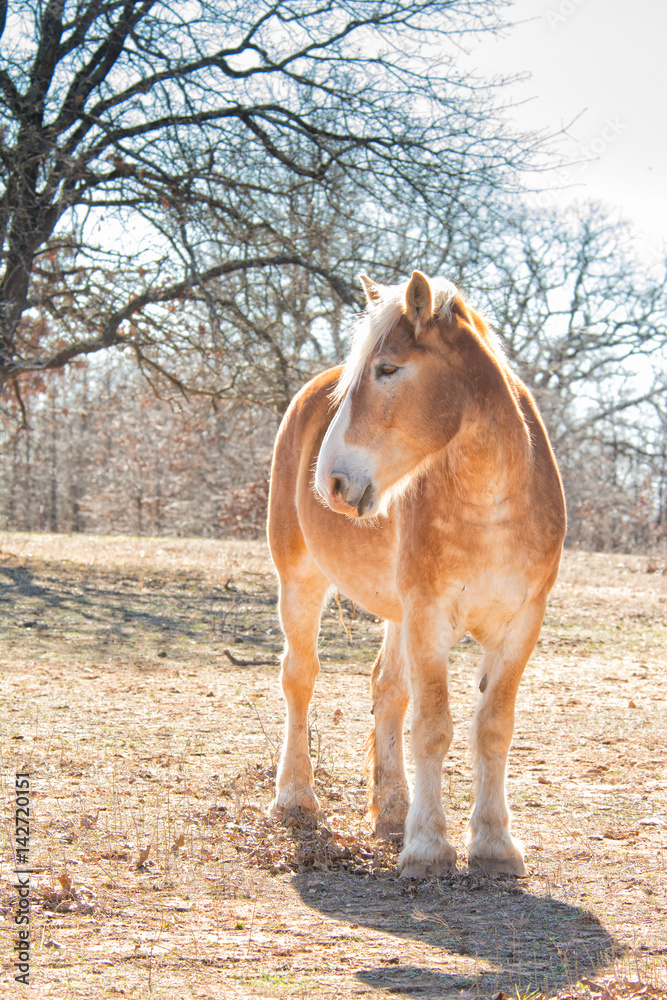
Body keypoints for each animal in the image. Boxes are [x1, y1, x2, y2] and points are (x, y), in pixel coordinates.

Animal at [267, 270, 566, 877]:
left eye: (387, 369)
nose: (329, 482)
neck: (494, 504)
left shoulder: (522, 623)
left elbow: (492, 727)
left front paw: (494, 844)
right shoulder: (430, 616)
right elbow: (433, 726)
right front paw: (429, 846)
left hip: (396, 611)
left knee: (386, 689)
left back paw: (391, 810)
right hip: (301, 581)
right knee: (299, 677)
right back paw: (295, 799)